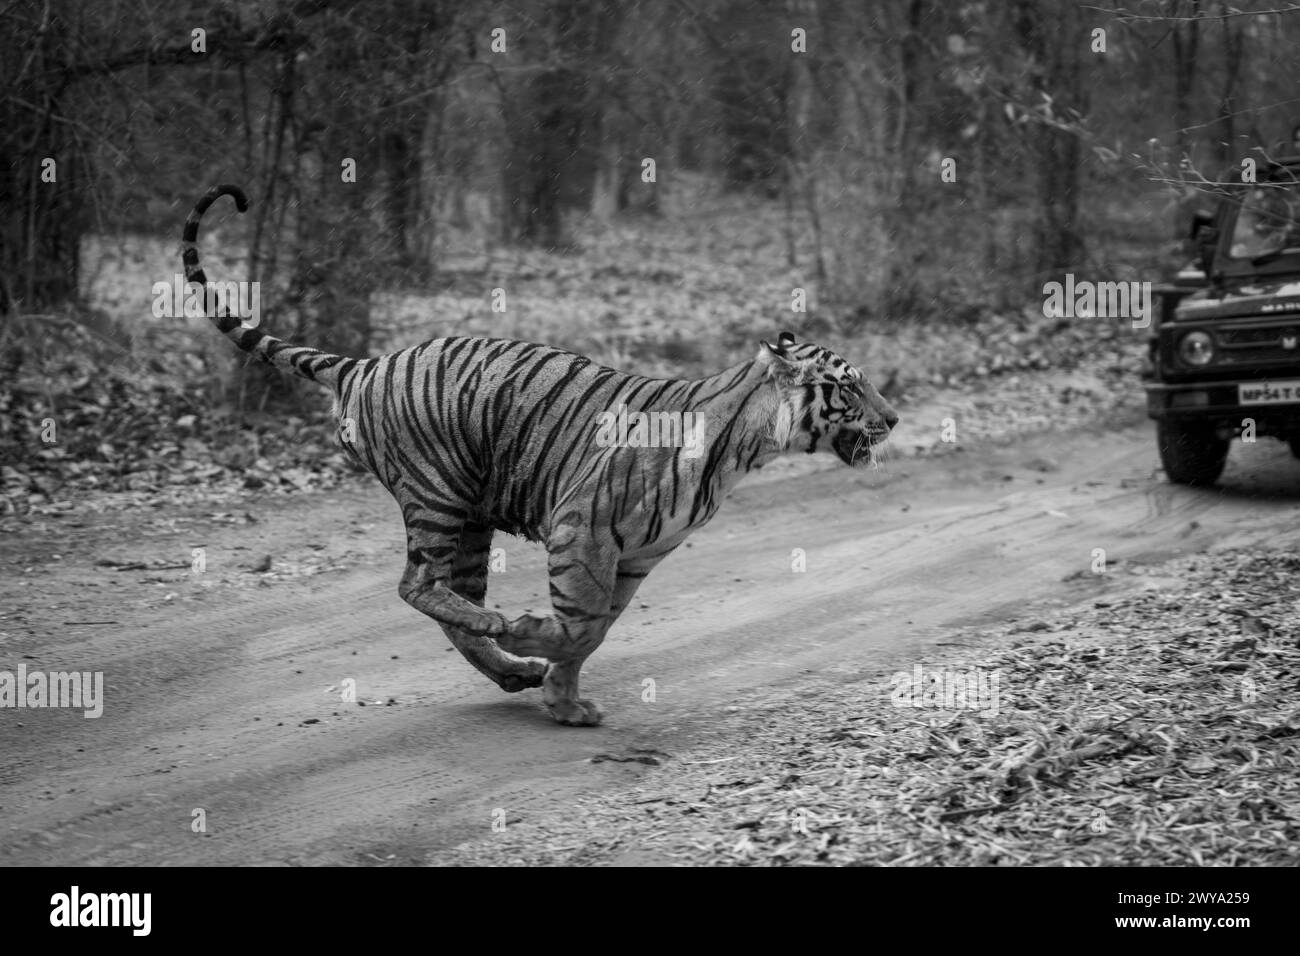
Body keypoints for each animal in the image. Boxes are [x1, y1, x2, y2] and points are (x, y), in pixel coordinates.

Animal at [182, 183, 899, 726]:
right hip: (437, 492)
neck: (744, 447)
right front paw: (541, 646)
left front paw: (561, 698)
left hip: (471, 517)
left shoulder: (638, 555)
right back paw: (503, 630)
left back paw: (509, 668)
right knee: (419, 585)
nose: (893, 419)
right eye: (849, 386)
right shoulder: (584, 530)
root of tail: (368, 362)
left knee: (448, 595)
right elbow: (581, 625)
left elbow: (596, 629)